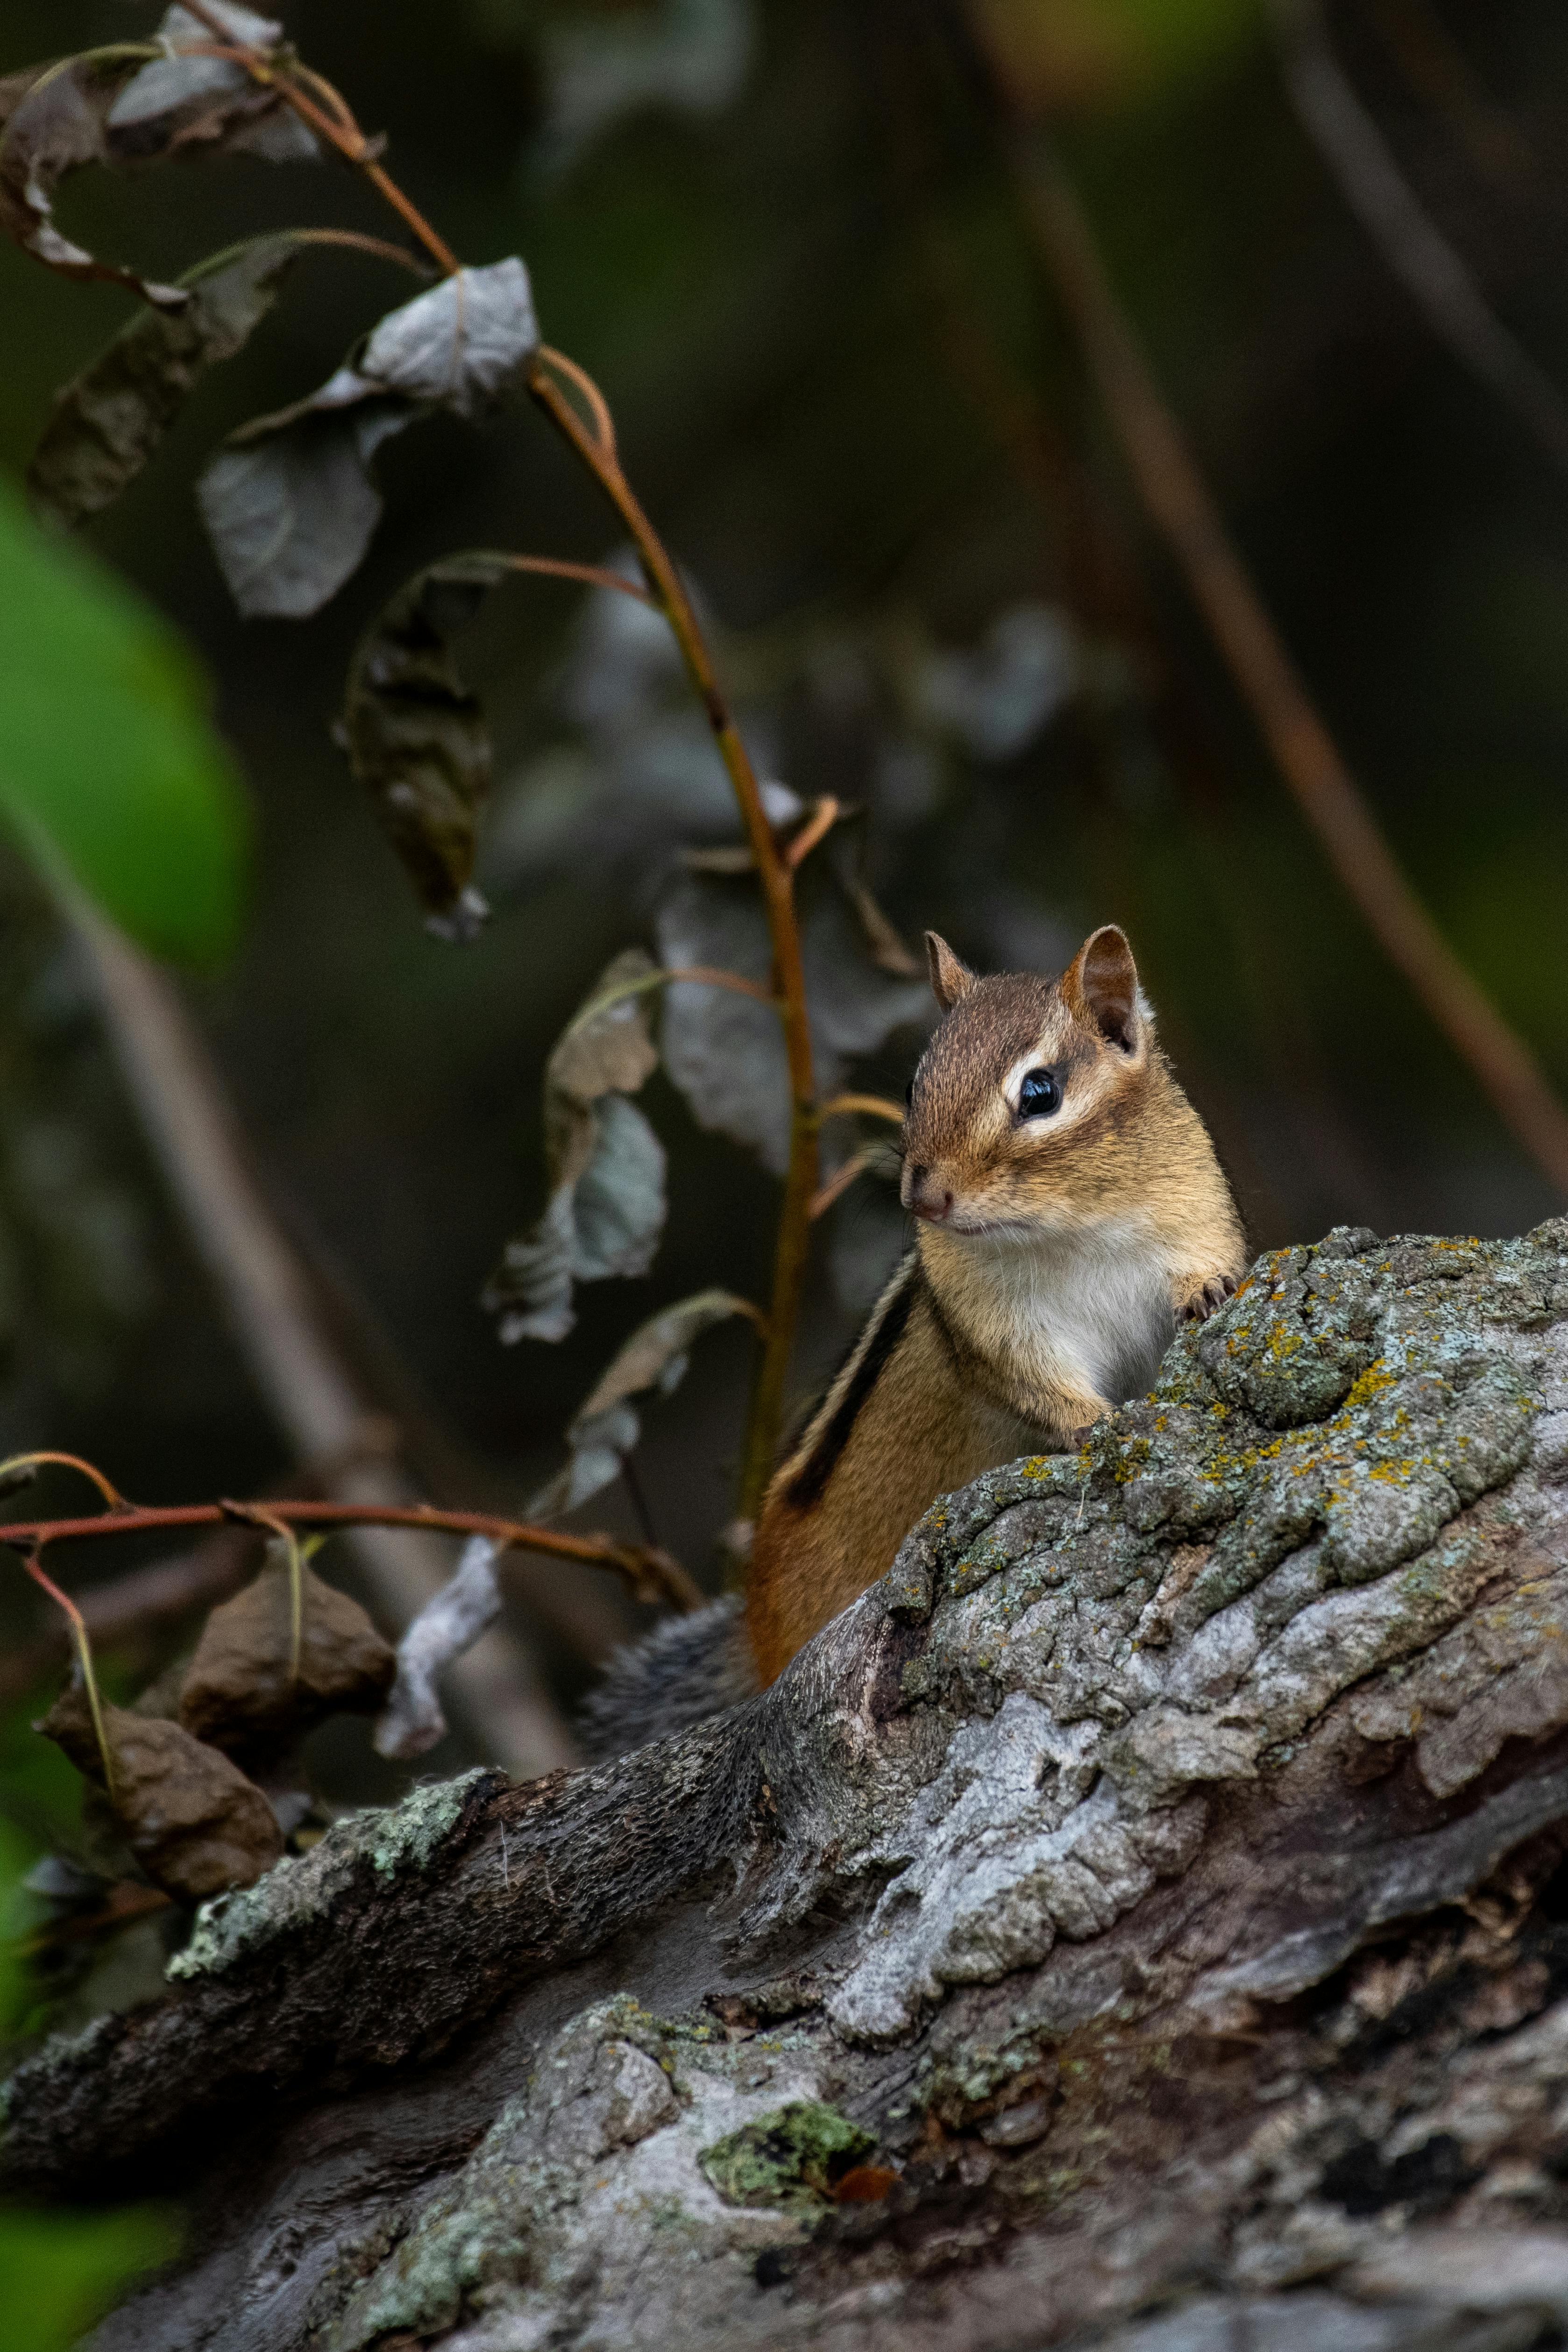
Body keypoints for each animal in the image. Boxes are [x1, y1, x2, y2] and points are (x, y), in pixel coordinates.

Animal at [578, 923, 1245, 1753]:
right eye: (911, 1087)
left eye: (1040, 1093)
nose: (922, 1197)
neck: (1070, 1226)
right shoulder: (993, 1325)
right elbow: (1033, 1382)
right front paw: (1097, 1422)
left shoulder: (1193, 1217)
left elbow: (1207, 1268)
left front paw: (1210, 1293)